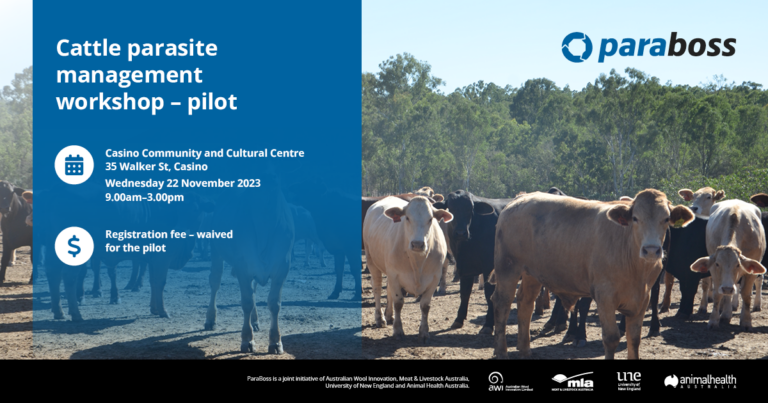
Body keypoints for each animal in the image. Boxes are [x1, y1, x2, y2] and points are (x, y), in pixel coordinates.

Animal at [204, 185, 294, 354]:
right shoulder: (243, 267)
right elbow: (246, 302)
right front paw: (247, 340)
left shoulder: (282, 266)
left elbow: (274, 303)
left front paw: (275, 341)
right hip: (216, 250)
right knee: (215, 282)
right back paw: (210, 319)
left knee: (253, 290)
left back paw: (255, 320)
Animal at [363, 196, 452, 341]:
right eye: (407, 218)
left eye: (430, 219)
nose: (417, 244)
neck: (417, 262)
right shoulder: (394, 275)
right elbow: (398, 303)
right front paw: (398, 330)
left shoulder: (434, 277)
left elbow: (425, 305)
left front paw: (424, 331)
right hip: (372, 261)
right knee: (377, 288)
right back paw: (380, 318)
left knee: (388, 289)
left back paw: (389, 315)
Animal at [432, 189, 510, 334]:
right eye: (451, 209)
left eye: (470, 209)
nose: (460, 233)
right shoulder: (464, 267)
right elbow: (464, 293)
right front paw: (458, 319)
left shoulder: (489, 267)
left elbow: (489, 294)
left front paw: (488, 324)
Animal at [491, 189, 694, 359]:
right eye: (635, 218)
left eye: (666, 219)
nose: (651, 250)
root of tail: (519, 199)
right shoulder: (605, 297)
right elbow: (611, 338)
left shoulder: (643, 298)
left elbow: (634, 339)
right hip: (507, 267)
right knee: (502, 304)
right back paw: (502, 352)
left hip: (531, 273)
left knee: (525, 303)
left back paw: (525, 350)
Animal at [690, 199, 766, 330]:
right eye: (717, 264)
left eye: (738, 265)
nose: (727, 288)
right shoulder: (714, 271)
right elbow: (717, 294)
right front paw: (714, 320)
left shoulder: (750, 272)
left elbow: (746, 294)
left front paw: (746, 321)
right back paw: (725, 314)